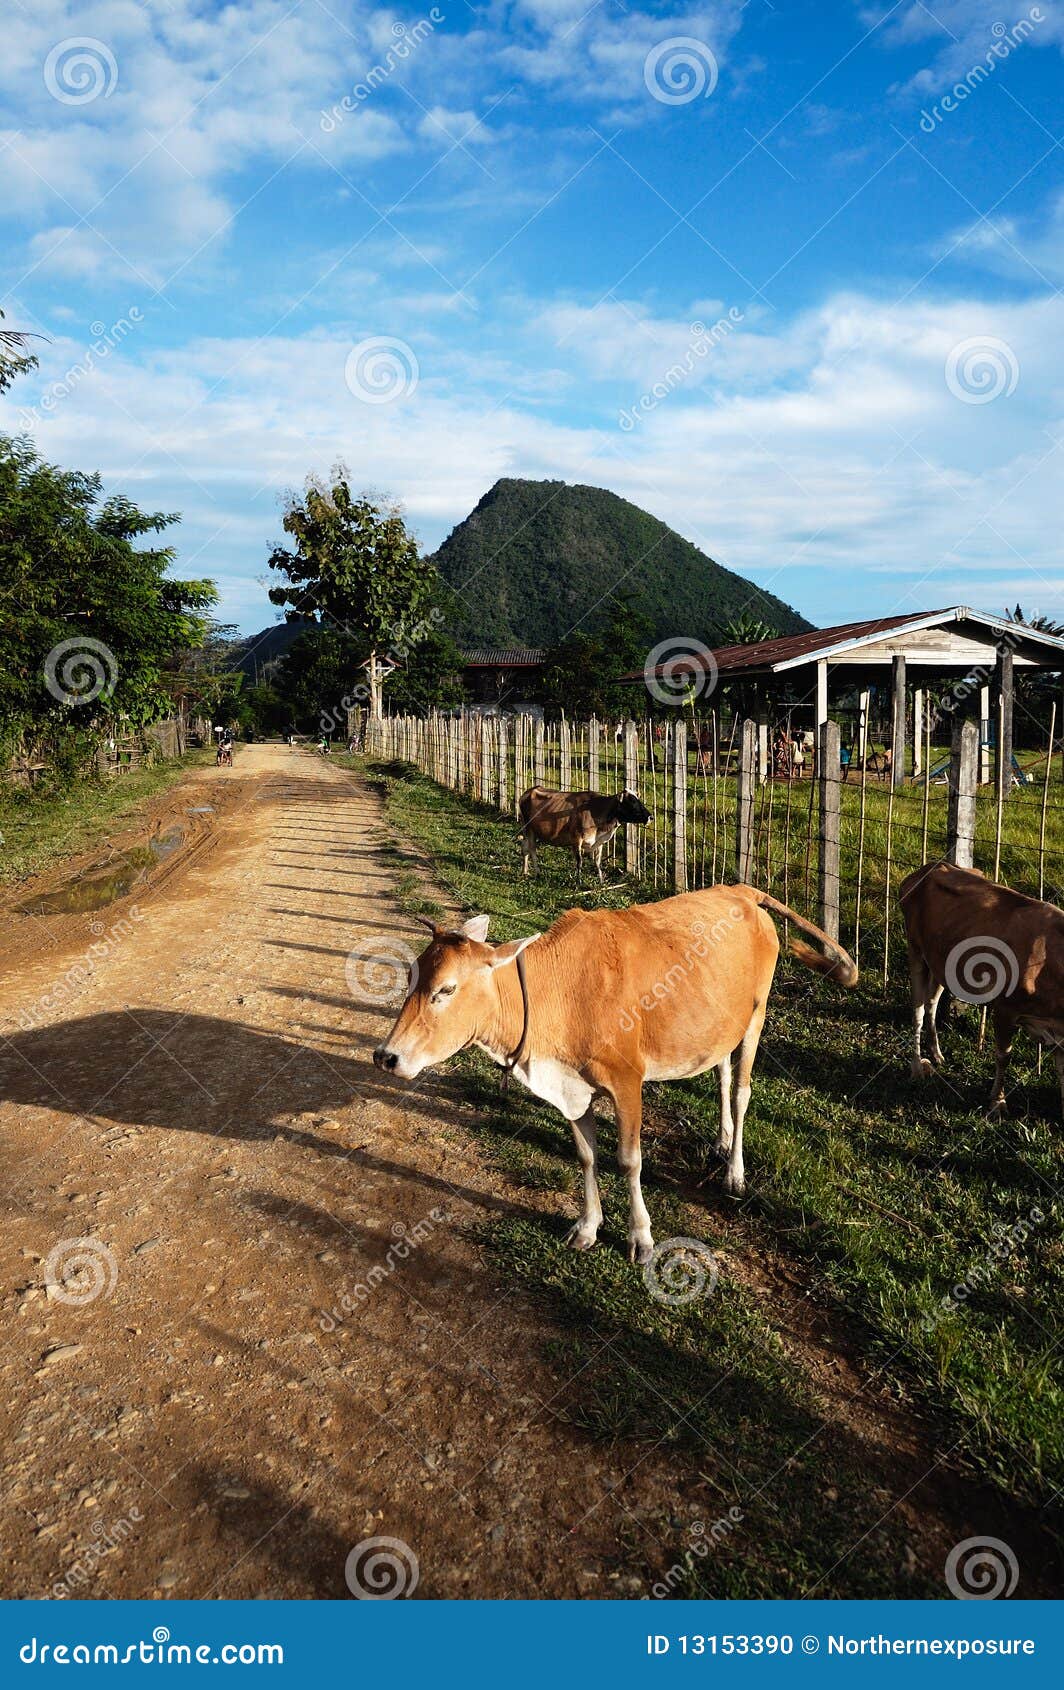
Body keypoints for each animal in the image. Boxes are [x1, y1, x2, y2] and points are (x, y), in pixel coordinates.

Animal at [373, 885, 857, 1264]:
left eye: (446, 989)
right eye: (411, 978)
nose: (386, 1057)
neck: (563, 994)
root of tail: (742, 891)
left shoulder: (627, 1083)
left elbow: (628, 1160)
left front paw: (641, 1237)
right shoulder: (572, 1088)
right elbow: (587, 1155)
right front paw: (588, 1226)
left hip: (757, 1015)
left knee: (741, 1091)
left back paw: (734, 1172)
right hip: (720, 1024)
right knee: (720, 1071)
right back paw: (720, 1141)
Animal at [517, 785, 651, 881]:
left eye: (638, 800)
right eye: (632, 802)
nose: (651, 817)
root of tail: (528, 791)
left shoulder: (599, 841)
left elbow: (597, 861)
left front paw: (601, 881)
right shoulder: (576, 839)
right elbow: (579, 862)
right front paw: (578, 882)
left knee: (525, 848)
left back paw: (525, 871)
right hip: (528, 828)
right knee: (531, 849)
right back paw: (537, 872)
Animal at [901, 859, 1064, 1117]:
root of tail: (933, 866)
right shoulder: (1005, 1008)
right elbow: (1003, 1056)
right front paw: (997, 1102)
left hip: (941, 962)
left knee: (931, 1003)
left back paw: (936, 1054)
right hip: (915, 950)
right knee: (916, 1010)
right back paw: (917, 1067)